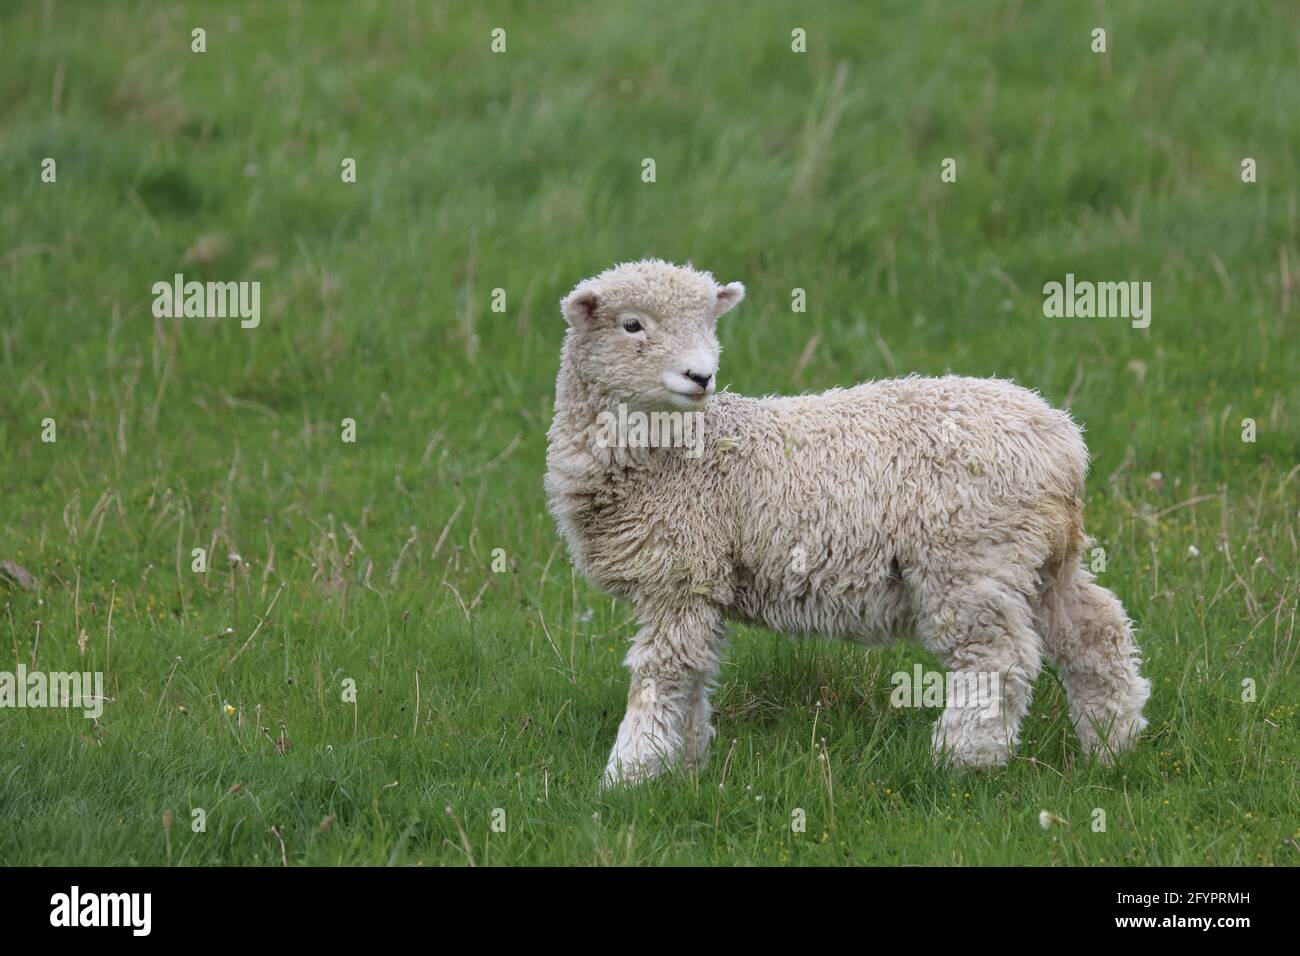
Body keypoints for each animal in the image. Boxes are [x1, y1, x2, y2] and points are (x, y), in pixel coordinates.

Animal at [545, 259, 1150, 787]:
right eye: (632, 325)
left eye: (706, 324)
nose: (701, 375)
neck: (678, 452)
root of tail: (1063, 443)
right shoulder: (694, 582)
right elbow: (690, 676)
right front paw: (683, 768)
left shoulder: (682, 572)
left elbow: (662, 674)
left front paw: (628, 774)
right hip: (1041, 554)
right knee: (1095, 627)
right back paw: (1112, 743)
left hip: (969, 556)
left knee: (997, 658)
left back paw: (962, 760)